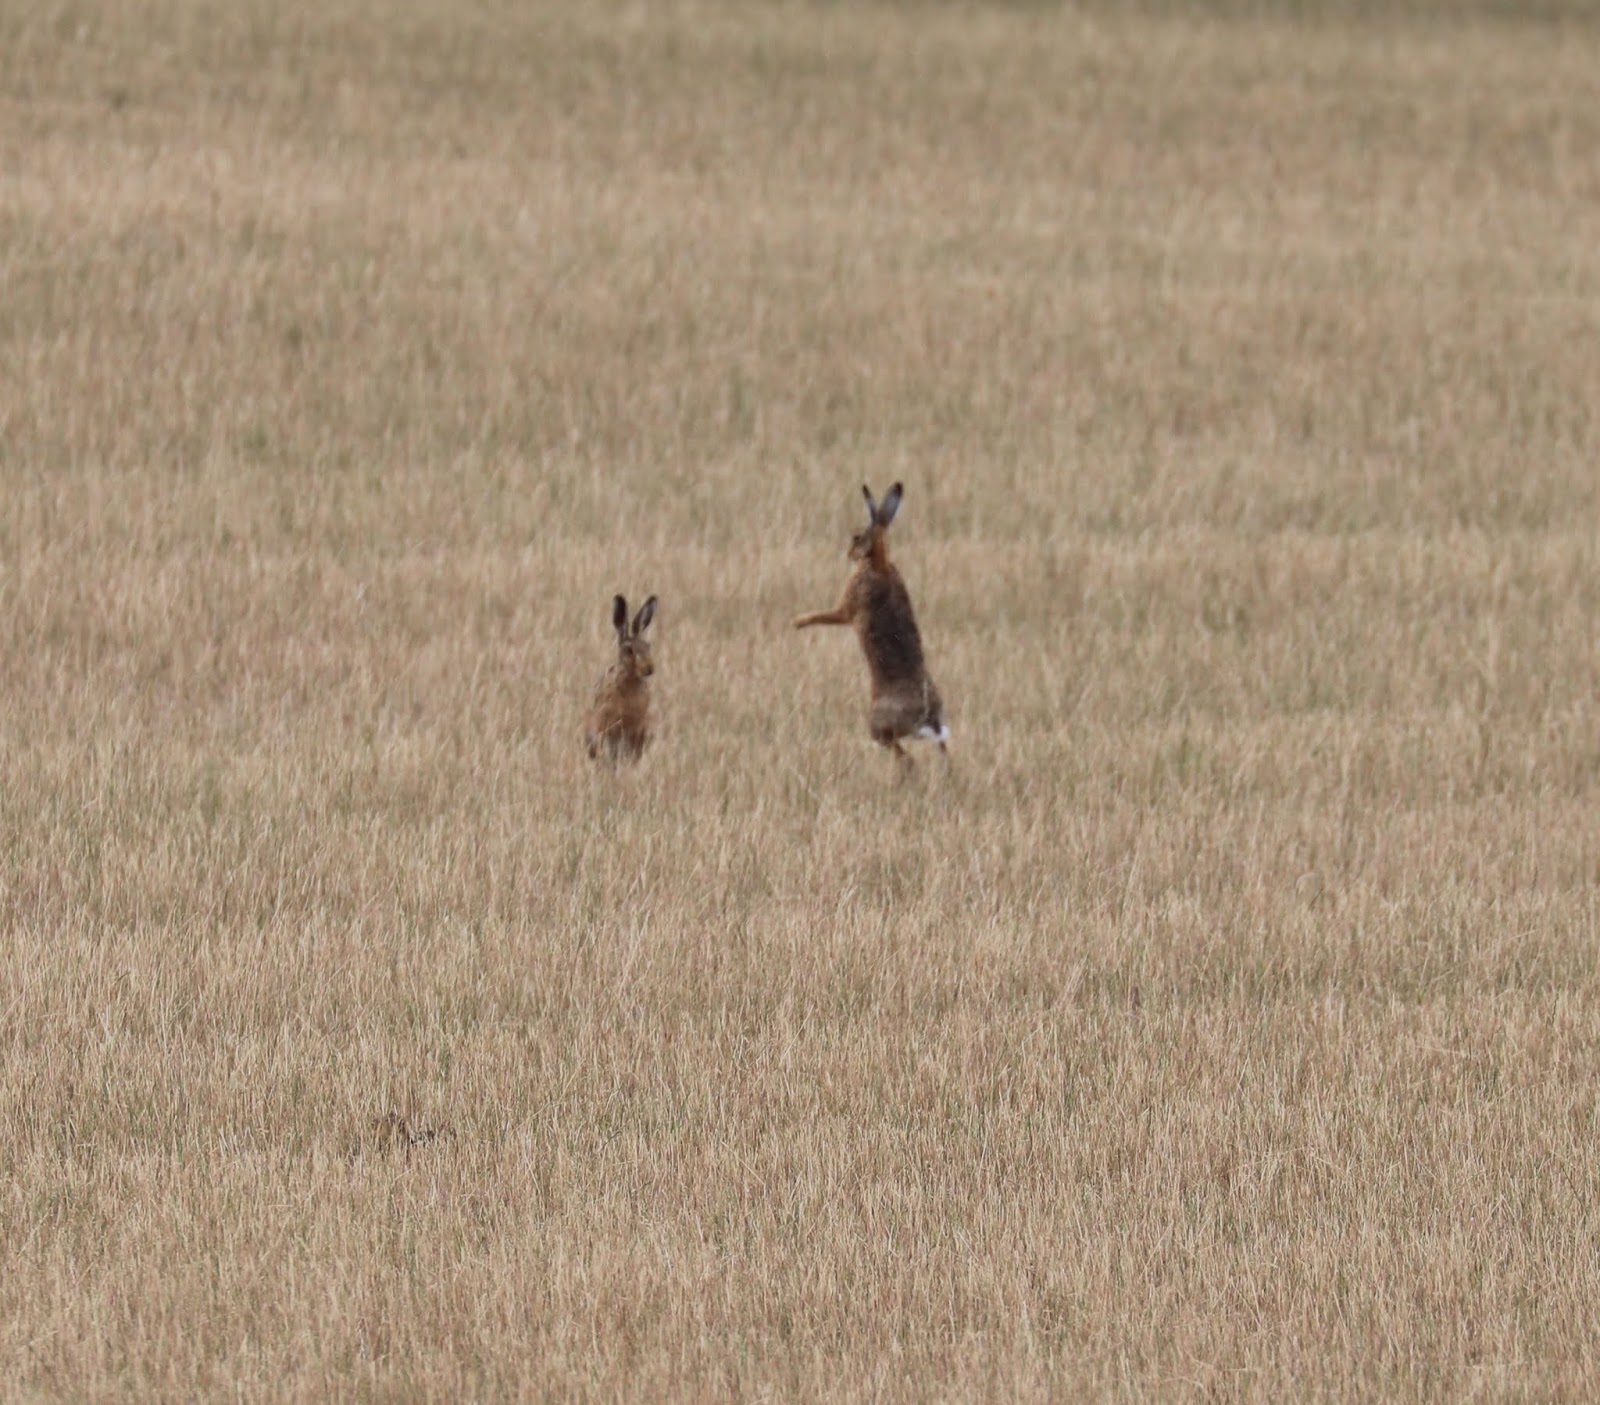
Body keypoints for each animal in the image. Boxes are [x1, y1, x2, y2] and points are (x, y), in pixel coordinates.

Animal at [794, 482, 949, 769]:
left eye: (856, 537)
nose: (849, 554)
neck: (878, 560)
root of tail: (928, 718)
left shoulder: (847, 608)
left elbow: (830, 615)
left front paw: (798, 622)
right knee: (942, 751)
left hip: (878, 727)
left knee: (906, 757)